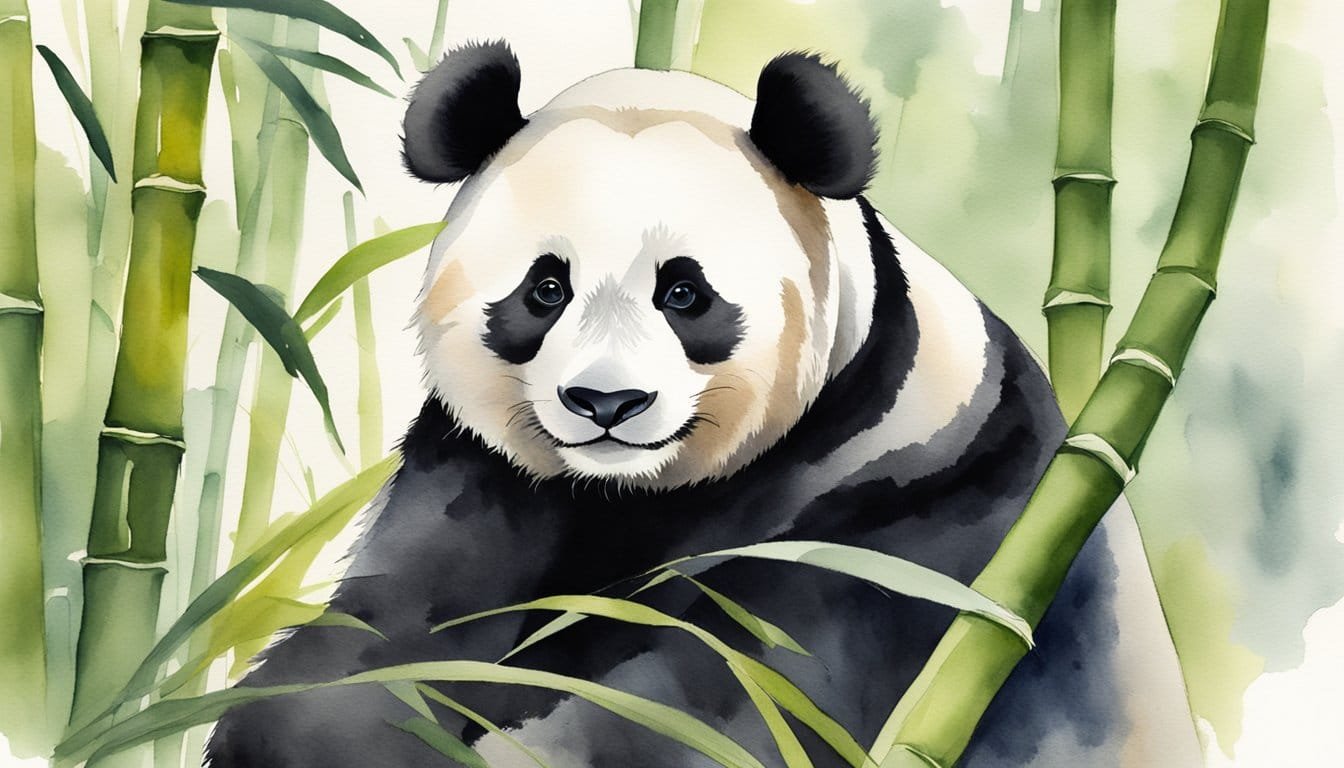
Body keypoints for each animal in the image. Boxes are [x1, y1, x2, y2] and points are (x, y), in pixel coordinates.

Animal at [207, 42, 1200, 767]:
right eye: (545, 289)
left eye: (684, 293)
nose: (606, 401)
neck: (635, 493)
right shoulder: (485, 473)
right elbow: (398, 629)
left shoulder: (910, 524)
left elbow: (724, 709)